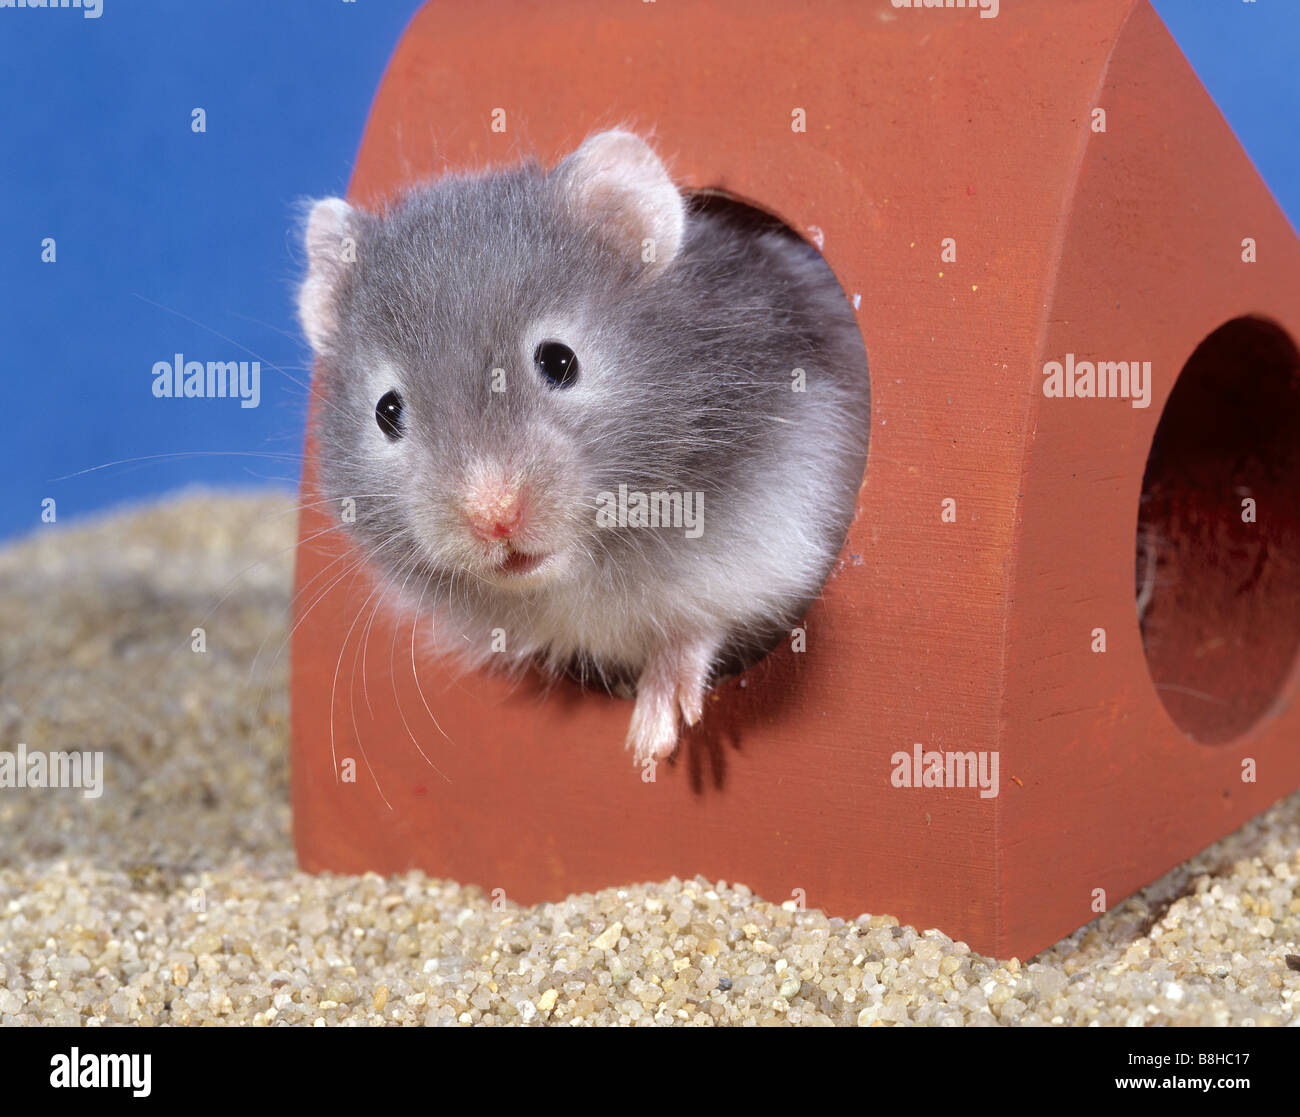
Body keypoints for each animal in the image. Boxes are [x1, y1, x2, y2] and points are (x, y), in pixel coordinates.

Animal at [297, 130, 870, 765]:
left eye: (559, 360)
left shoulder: (779, 537)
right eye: (387, 412)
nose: (494, 519)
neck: (583, 570)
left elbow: (700, 628)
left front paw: (651, 741)